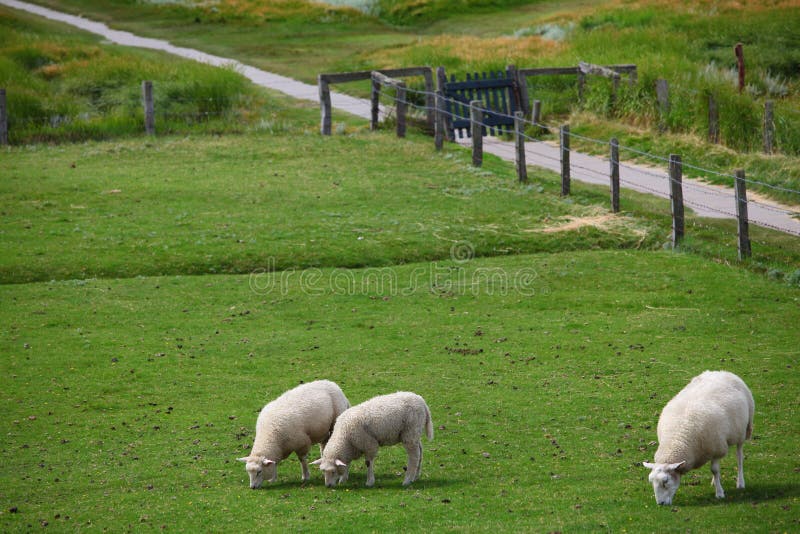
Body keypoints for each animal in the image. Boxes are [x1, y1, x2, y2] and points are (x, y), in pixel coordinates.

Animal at [643, 370, 754, 505]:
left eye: (665, 482)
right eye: (651, 481)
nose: (661, 504)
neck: (677, 439)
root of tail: (721, 372)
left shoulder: (717, 448)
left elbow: (714, 470)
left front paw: (719, 493)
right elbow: (715, 470)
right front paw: (717, 484)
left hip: (742, 431)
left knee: (739, 457)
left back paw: (740, 482)